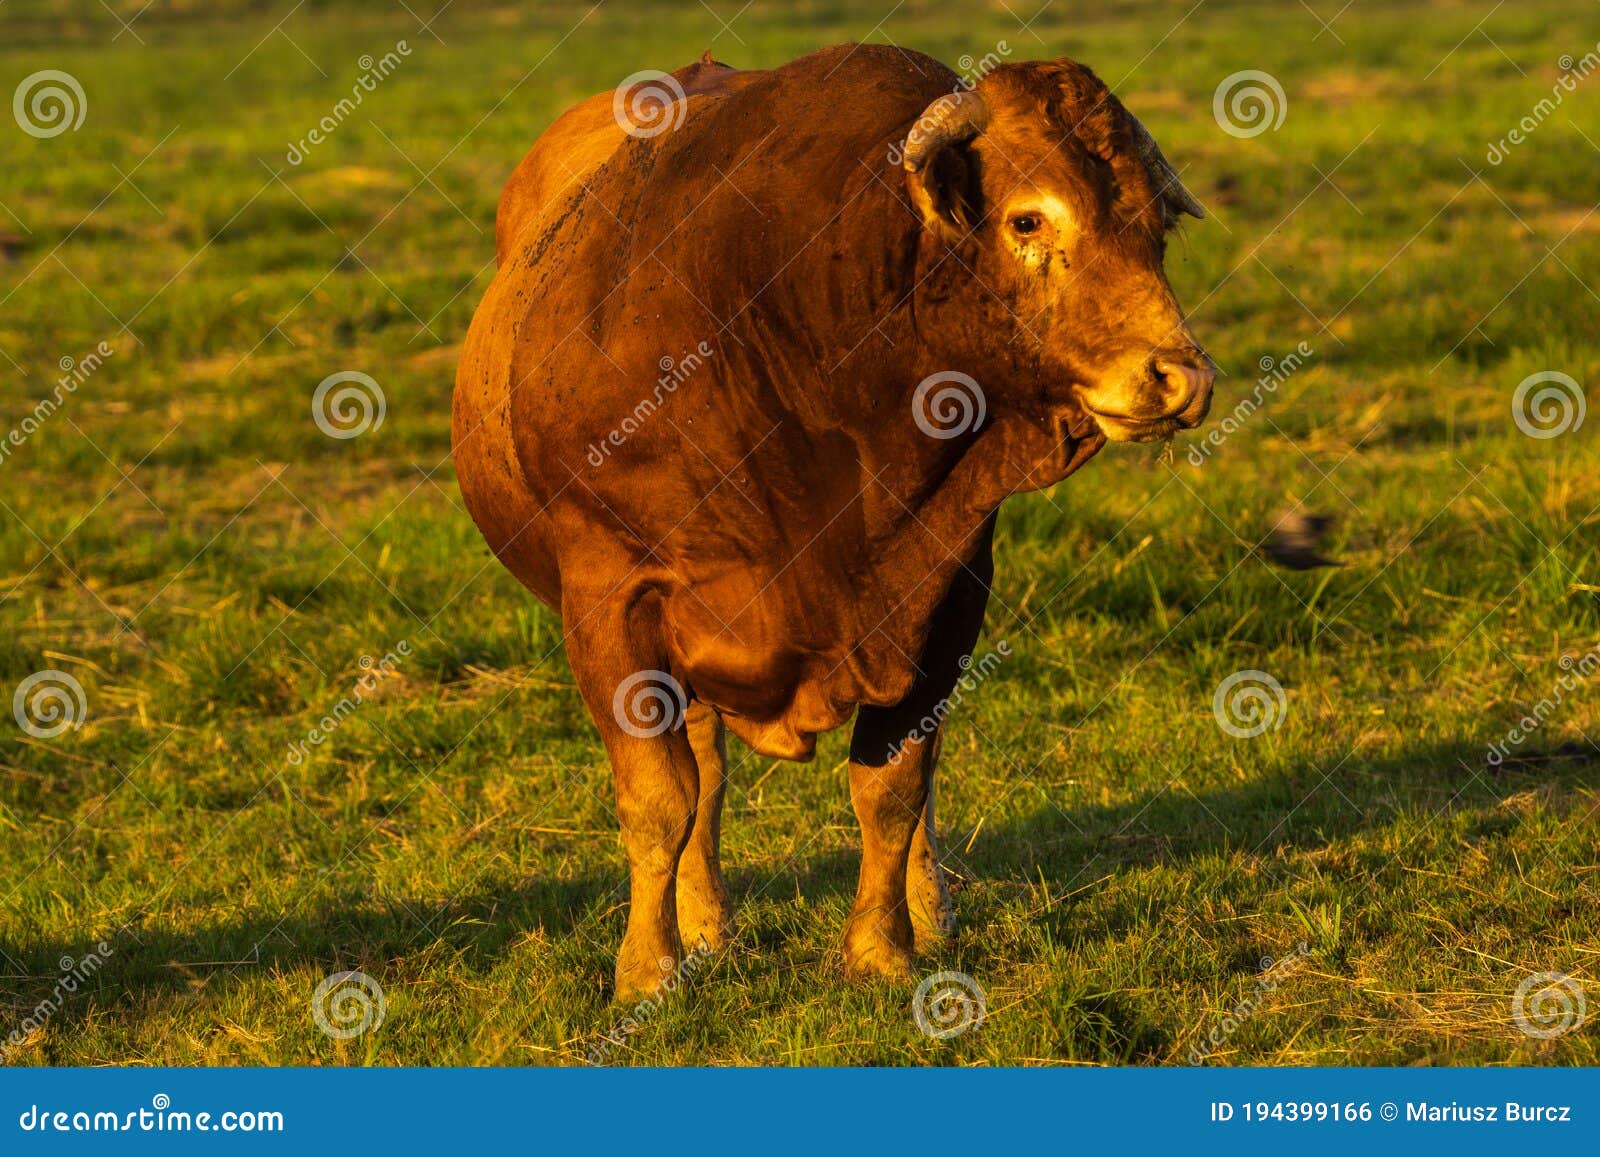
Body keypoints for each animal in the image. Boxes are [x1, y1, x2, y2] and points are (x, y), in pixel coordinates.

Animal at [453, 44, 1214, 999]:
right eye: (1029, 218)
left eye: (1157, 228)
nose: (1180, 377)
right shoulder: (610, 602)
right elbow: (662, 799)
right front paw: (648, 969)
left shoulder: (946, 593)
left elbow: (895, 785)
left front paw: (883, 946)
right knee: (705, 773)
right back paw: (706, 923)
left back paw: (927, 907)